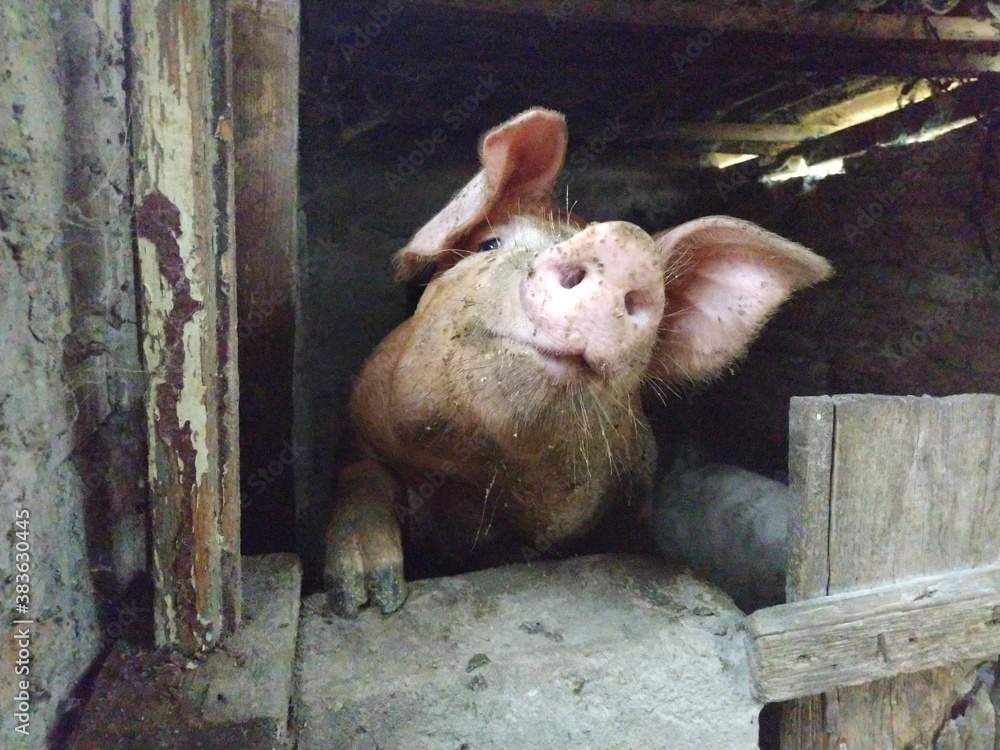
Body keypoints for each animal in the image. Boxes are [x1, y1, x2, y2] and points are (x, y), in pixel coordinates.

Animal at [324, 107, 832, 617]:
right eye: (489, 244)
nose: (625, 244)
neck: (468, 480)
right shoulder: (363, 420)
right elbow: (362, 477)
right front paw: (369, 596)